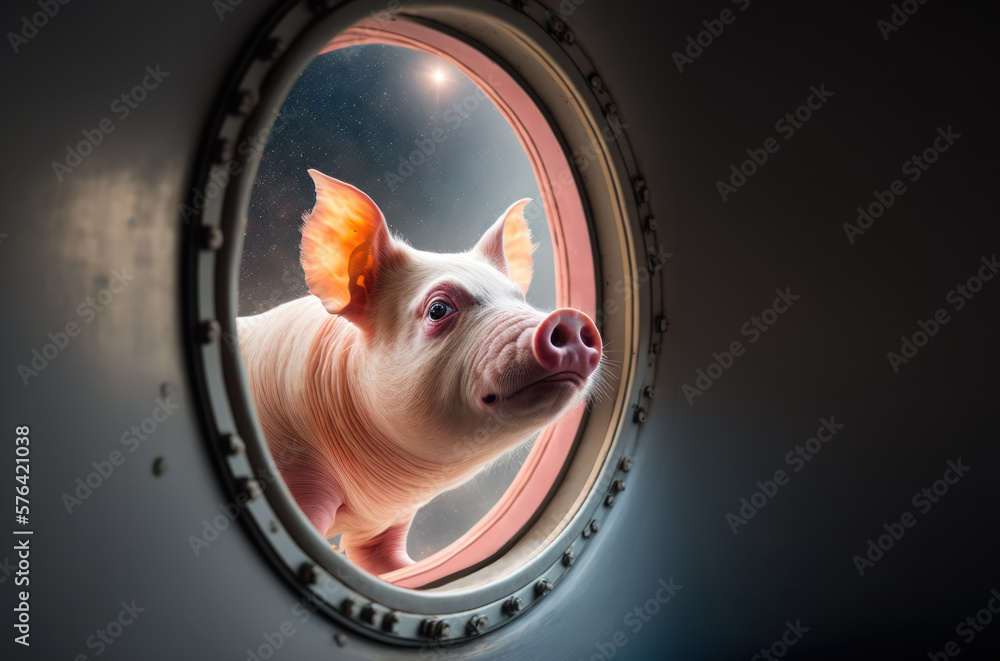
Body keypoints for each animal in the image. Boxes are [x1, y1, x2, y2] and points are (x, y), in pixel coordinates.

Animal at [237, 169, 603, 576]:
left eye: (519, 299)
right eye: (438, 309)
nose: (569, 317)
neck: (385, 491)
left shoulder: (387, 521)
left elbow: (384, 560)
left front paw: (407, 568)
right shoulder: (297, 472)